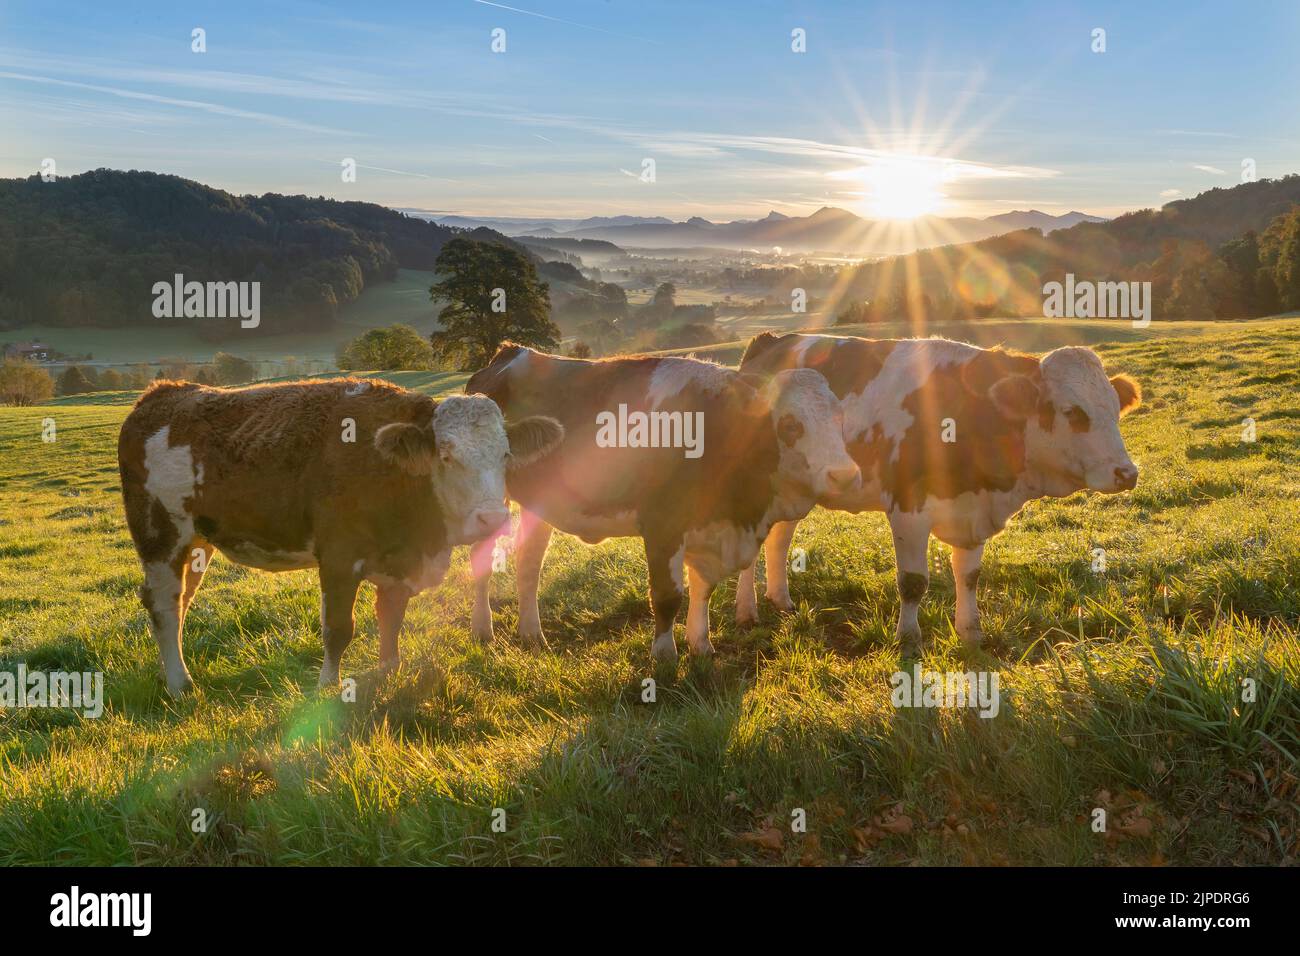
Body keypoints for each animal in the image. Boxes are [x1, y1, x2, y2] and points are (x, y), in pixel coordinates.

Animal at [118, 378, 563, 695]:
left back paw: (171, 673)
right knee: (163, 603)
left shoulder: (399, 562)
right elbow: (338, 628)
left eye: (506, 455)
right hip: (160, 535)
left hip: (197, 543)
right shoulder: (338, 557)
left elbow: (391, 617)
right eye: (446, 455)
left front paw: (389, 670)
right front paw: (327, 686)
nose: (493, 519)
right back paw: (179, 684)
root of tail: (163, 393)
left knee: (180, 602)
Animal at [464, 345, 861, 664]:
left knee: (529, 563)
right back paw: (483, 630)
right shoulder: (662, 525)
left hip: (541, 504)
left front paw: (701, 644)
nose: (845, 475)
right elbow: (668, 595)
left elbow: (702, 588)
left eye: (840, 418)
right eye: (791, 424)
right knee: (482, 562)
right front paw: (665, 655)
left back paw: (532, 633)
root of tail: (511, 350)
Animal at [734, 332, 1143, 654]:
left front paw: (970, 633)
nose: (1127, 473)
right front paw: (908, 638)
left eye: (1115, 409)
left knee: (779, 539)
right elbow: (913, 582)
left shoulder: (973, 510)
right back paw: (747, 611)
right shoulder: (908, 508)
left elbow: (969, 575)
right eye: (1073, 412)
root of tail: (770, 343)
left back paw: (781, 599)